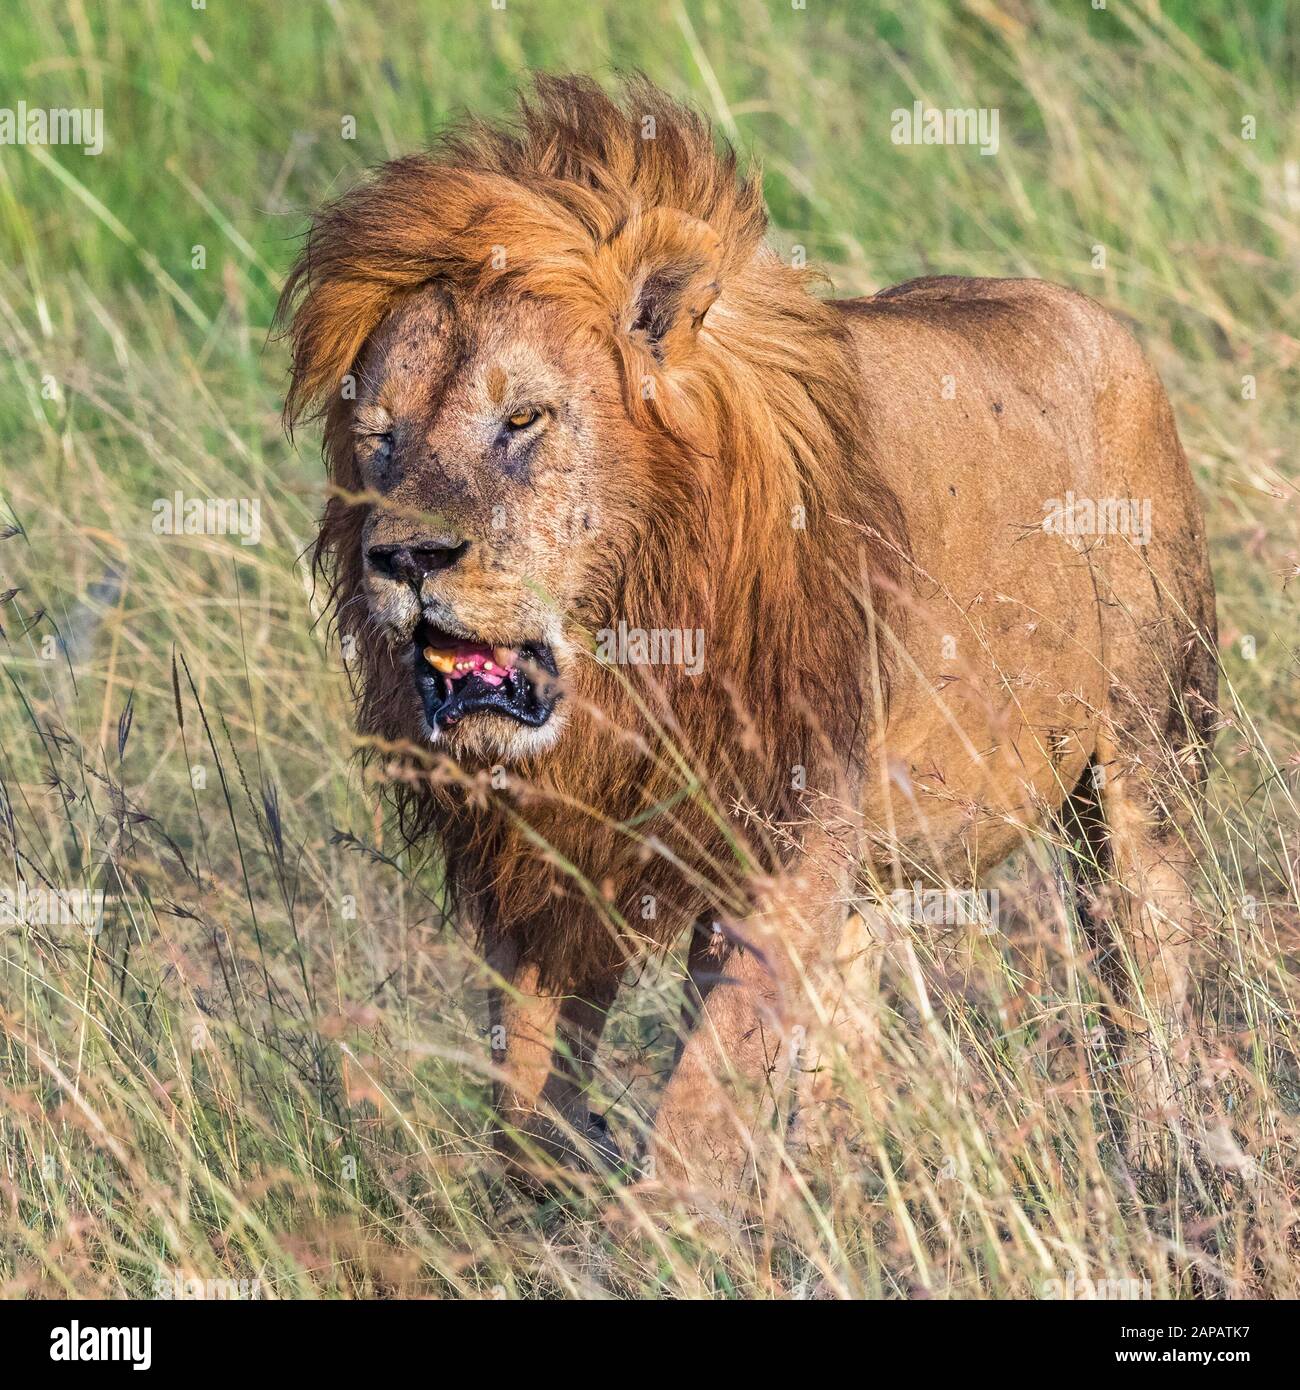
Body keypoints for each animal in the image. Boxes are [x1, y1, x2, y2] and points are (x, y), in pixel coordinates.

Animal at [279, 75, 1217, 1198]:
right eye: (379, 437)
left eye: (524, 420)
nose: (407, 559)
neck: (632, 645)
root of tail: (1086, 312)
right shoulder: (551, 861)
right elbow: (525, 1095)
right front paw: (566, 1177)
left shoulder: (780, 832)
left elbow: (701, 1106)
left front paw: (660, 1218)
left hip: (1146, 759)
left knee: (1143, 964)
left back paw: (1160, 1164)